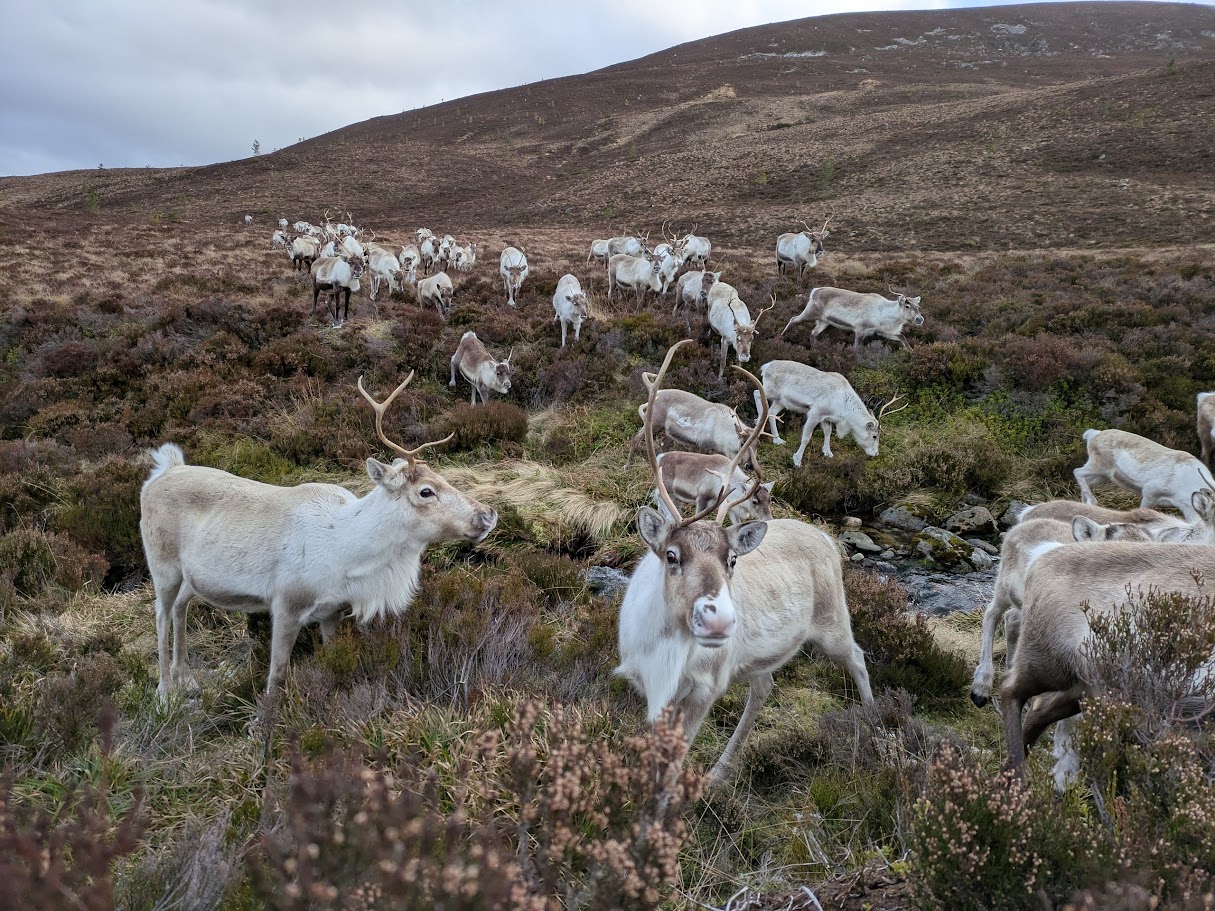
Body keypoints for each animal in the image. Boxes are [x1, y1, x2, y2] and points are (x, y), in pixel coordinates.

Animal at [139, 372, 497, 697]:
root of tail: (160, 472)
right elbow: (276, 678)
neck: (348, 557)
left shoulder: (332, 611)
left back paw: (186, 678)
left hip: (193, 578)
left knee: (180, 608)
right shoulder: (286, 603)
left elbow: (330, 659)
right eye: (425, 491)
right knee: (160, 616)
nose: (488, 514)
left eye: (443, 477)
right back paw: (164, 692)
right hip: (162, 566)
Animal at [615, 340, 873, 784]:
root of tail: (825, 536)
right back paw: (720, 771)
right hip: (762, 655)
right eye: (671, 555)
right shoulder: (647, 686)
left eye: (732, 559)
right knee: (763, 687)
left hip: (833, 620)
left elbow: (672, 766)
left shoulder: (705, 687)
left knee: (857, 658)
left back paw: (877, 722)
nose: (719, 620)